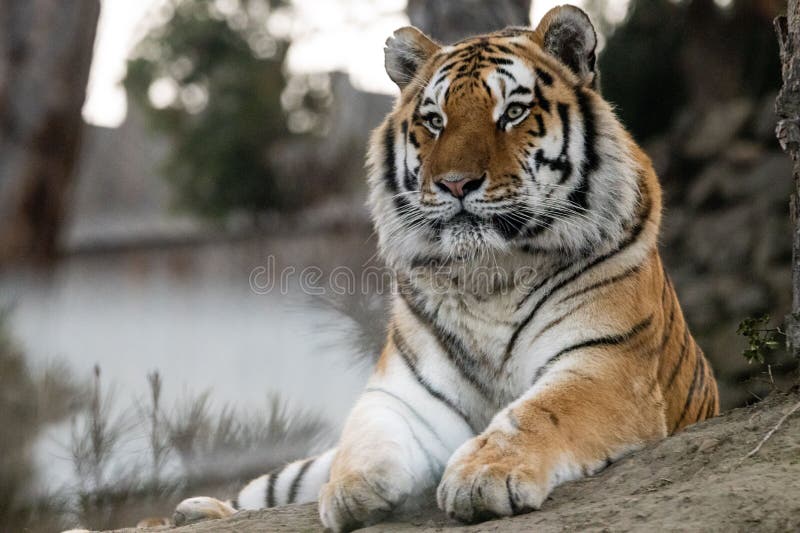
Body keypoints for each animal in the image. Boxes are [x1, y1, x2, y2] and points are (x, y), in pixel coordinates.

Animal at [172, 5, 719, 531]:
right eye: (434, 120)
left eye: (513, 113)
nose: (455, 183)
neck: (492, 275)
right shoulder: (405, 393)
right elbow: (367, 436)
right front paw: (352, 488)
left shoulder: (605, 361)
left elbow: (539, 413)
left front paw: (483, 475)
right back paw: (195, 511)